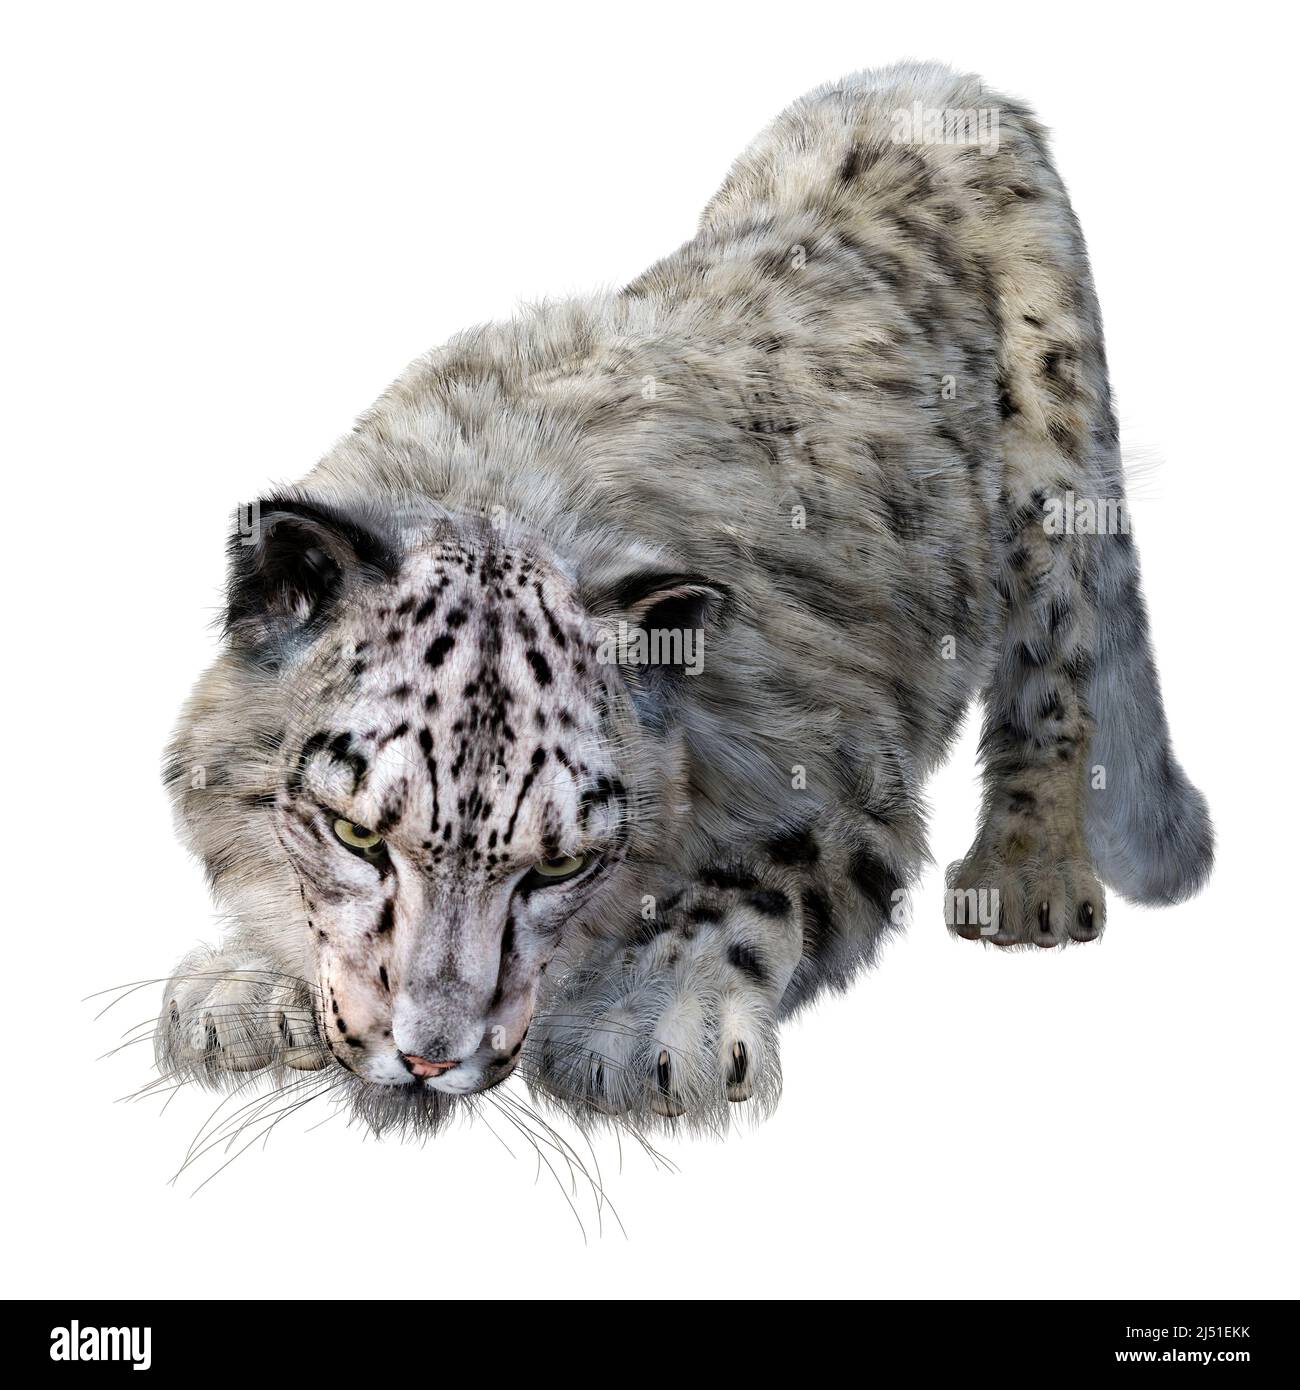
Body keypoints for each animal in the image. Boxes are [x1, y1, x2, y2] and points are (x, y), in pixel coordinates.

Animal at [156, 61, 1213, 1134]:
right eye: (356, 834)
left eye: (558, 866)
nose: (426, 1058)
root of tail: (929, 78)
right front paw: (243, 986)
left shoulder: (842, 777)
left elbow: (756, 884)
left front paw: (649, 1027)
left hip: (1055, 473)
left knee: (1054, 670)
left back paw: (1027, 877)